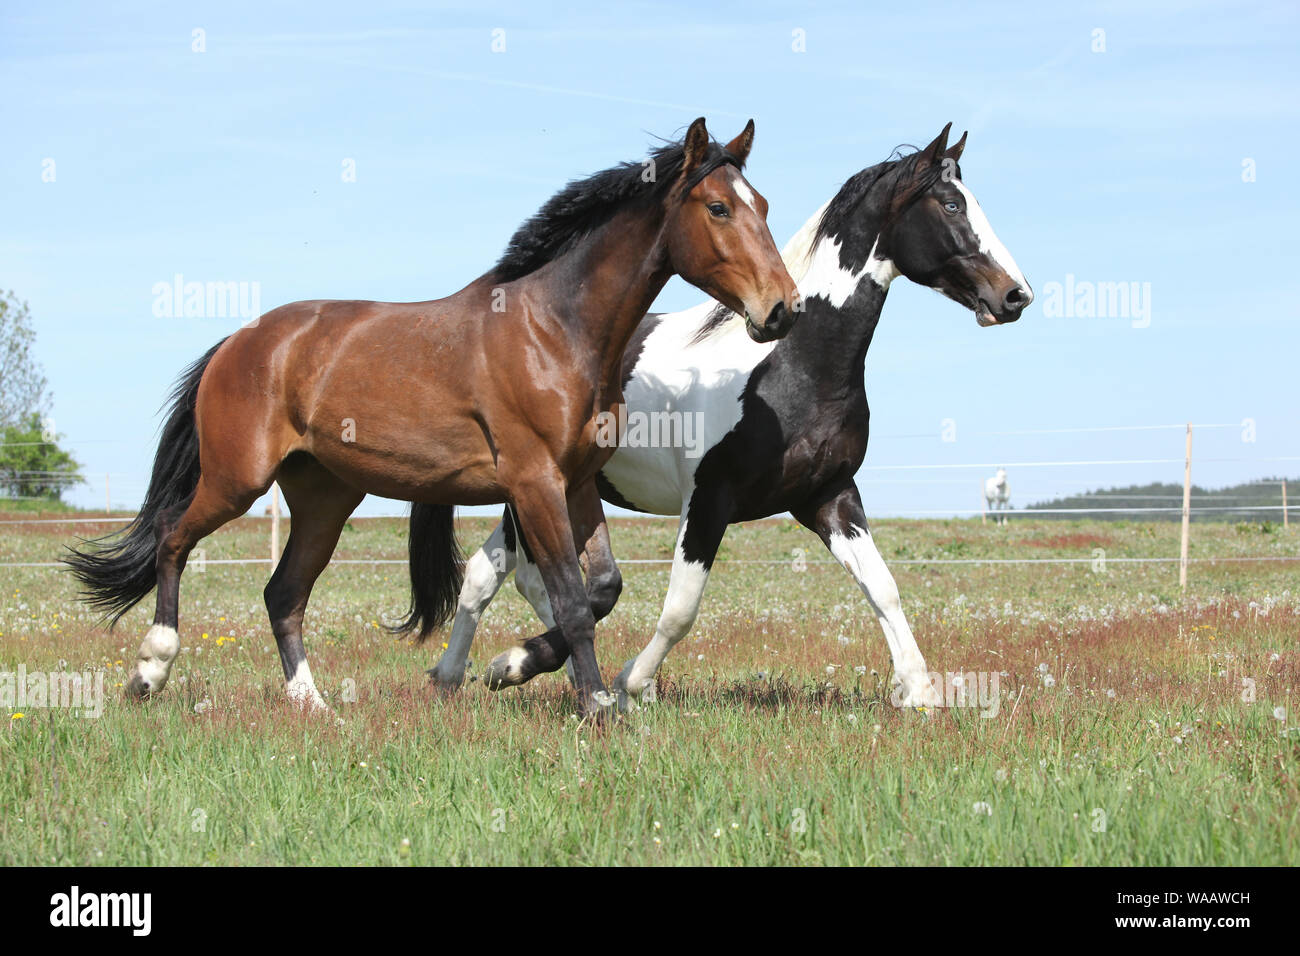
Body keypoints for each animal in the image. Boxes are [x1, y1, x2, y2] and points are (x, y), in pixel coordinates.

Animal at [66, 118, 799, 719]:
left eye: (763, 205)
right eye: (718, 207)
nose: (782, 308)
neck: (554, 329)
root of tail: (240, 342)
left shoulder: (576, 483)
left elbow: (603, 589)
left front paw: (513, 666)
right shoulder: (533, 483)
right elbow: (570, 599)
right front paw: (591, 707)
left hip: (324, 497)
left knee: (283, 594)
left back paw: (313, 706)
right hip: (235, 481)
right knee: (172, 540)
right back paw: (150, 671)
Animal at [416, 122, 1031, 709]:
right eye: (950, 205)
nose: (1015, 295)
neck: (788, 363)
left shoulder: (829, 495)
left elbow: (882, 586)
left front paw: (920, 691)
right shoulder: (710, 498)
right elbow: (680, 609)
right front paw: (630, 684)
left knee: (498, 575)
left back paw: (480, 671)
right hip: (536, 490)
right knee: (514, 578)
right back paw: (512, 668)